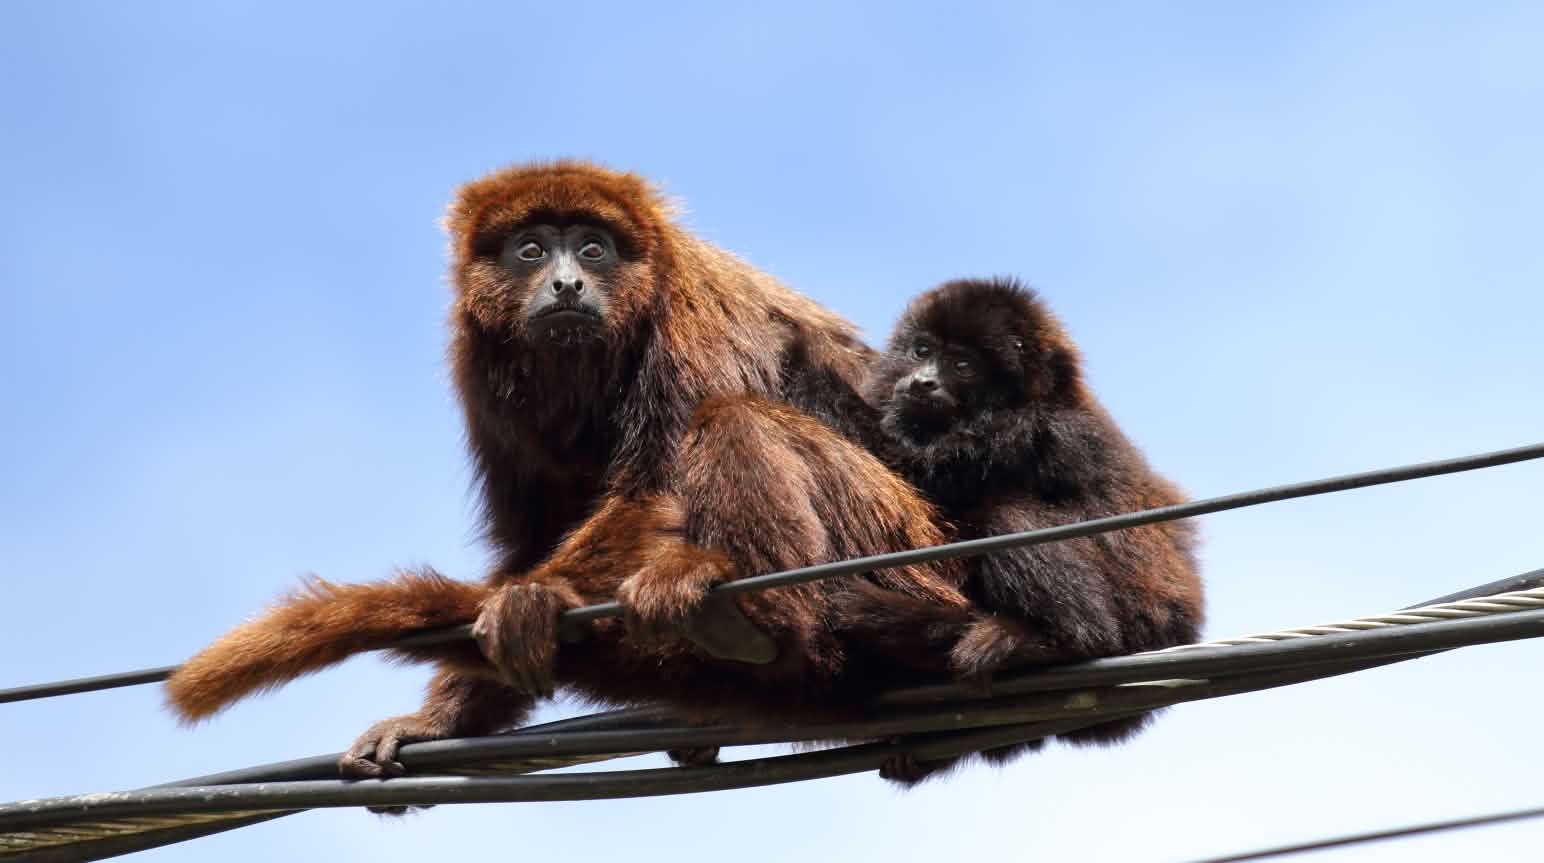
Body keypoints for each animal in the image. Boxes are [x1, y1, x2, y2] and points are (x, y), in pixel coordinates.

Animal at [164, 161, 975, 780]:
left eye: (592, 249)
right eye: (530, 251)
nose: (565, 284)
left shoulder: (689, 312)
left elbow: (652, 489)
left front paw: (537, 597)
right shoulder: (479, 368)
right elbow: (528, 536)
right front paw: (441, 718)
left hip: (901, 552)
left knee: (734, 419)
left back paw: (767, 626)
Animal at [828, 276, 1204, 783]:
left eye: (963, 365)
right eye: (921, 349)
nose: (923, 381)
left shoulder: (1022, 433)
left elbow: (900, 463)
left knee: (1010, 514)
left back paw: (1059, 642)